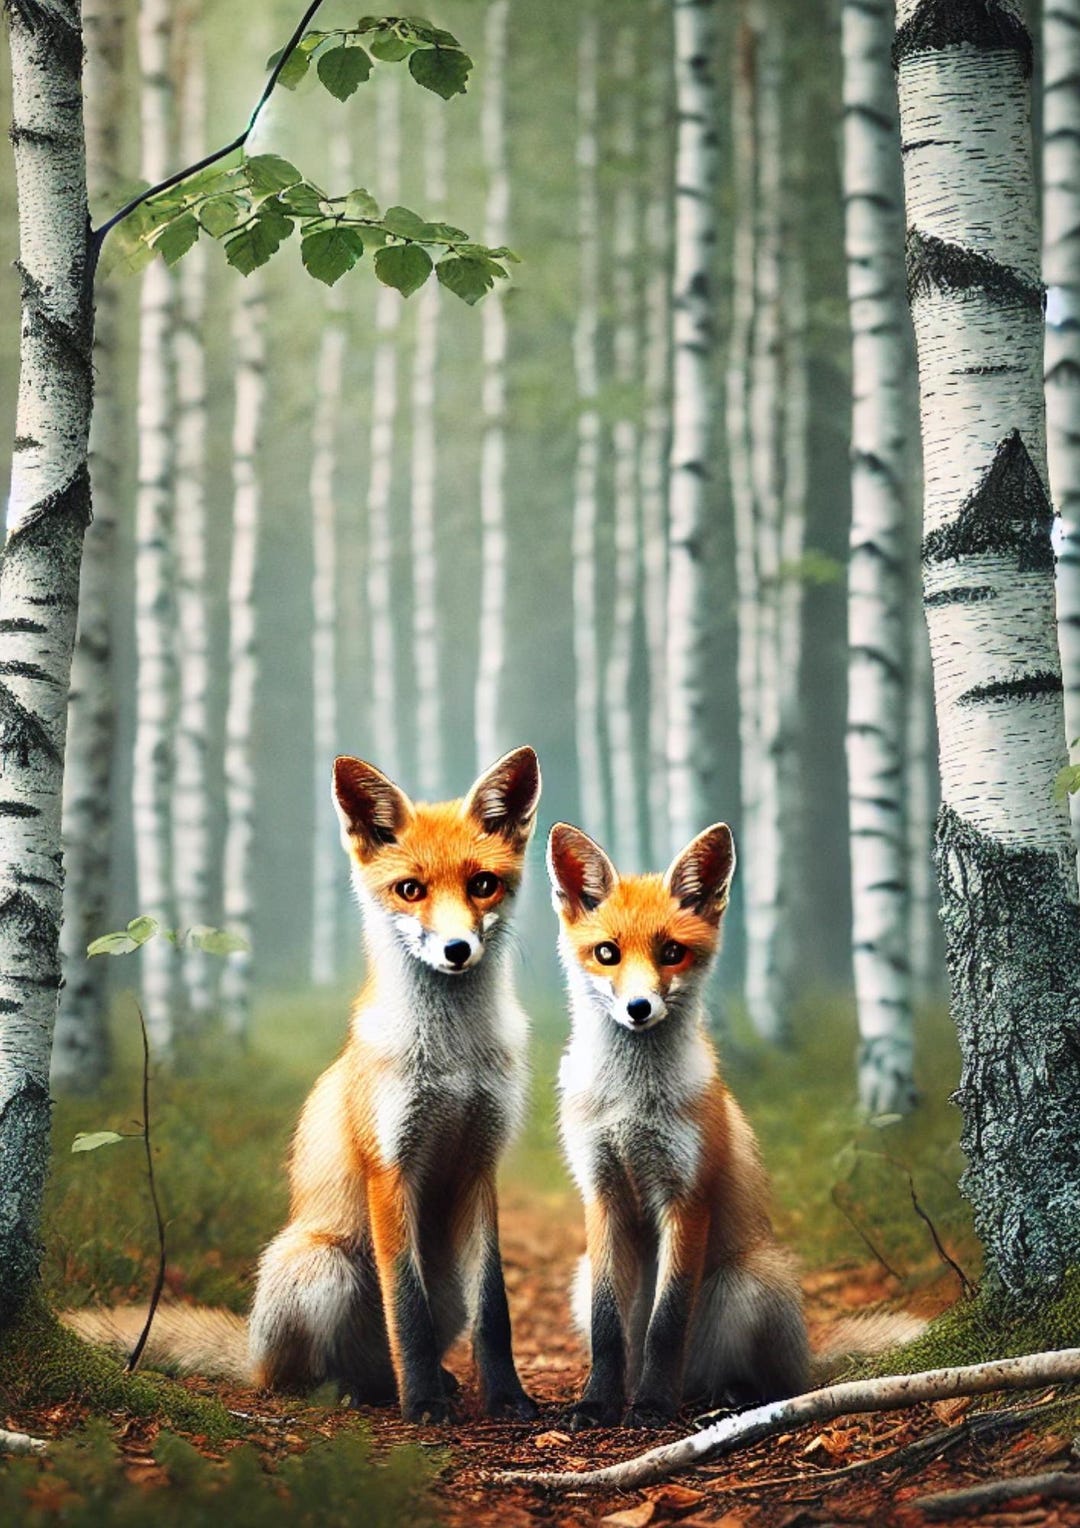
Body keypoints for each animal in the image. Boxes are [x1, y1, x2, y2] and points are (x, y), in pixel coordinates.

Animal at [547, 818, 810, 1430]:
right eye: (607, 953)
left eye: (671, 952)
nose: (639, 1008)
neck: (630, 1104)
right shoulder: (601, 1192)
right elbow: (607, 1328)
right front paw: (598, 1403)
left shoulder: (686, 1196)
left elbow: (666, 1323)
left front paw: (650, 1405)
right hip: (579, 1273)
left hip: (746, 1282)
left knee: (761, 1379)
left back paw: (725, 1396)